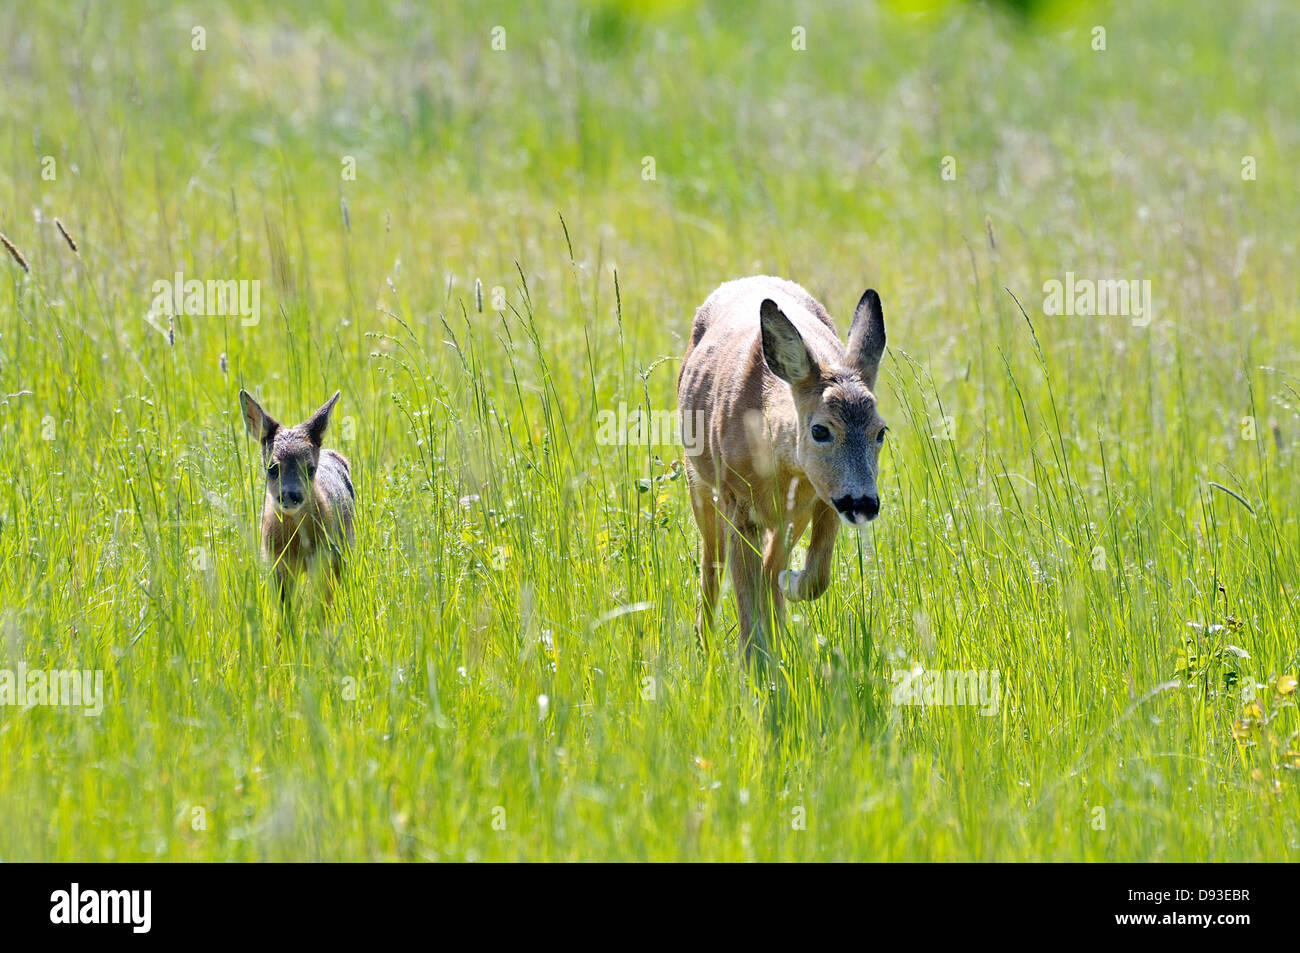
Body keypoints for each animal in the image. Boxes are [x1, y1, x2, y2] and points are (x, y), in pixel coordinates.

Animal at [676, 276, 888, 658]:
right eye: (820, 430)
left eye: (880, 431)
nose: (864, 503)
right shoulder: (737, 502)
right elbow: (744, 592)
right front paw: (752, 663)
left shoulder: (820, 500)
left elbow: (815, 577)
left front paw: (789, 588)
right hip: (698, 481)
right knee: (711, 562)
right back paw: (705, 645)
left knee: (767, 566)